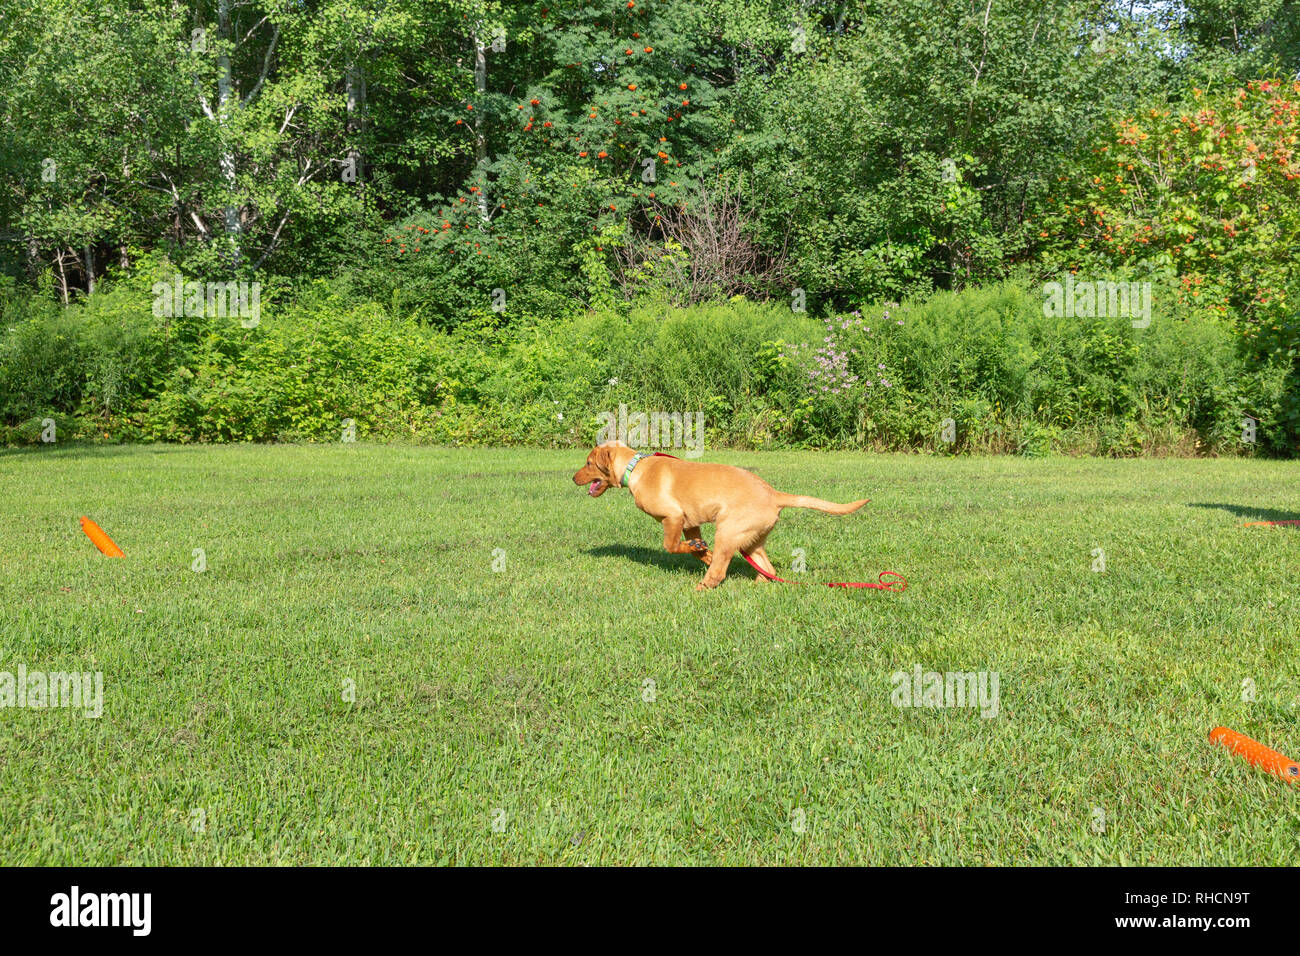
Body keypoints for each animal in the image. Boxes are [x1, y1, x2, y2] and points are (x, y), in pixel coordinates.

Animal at [574, 442, 868, 590]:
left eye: (588, 463)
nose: (573, 478)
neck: (635, 469)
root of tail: (774, 494)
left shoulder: (673, 516)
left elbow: (670, 546)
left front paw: (700, 552)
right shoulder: (690, 523)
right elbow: (694, 549)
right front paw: (702, 550)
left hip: (727, 531)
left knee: (719, 573)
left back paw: (702, 588)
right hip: (751, 538)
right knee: (767, 567)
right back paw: (758, 582)